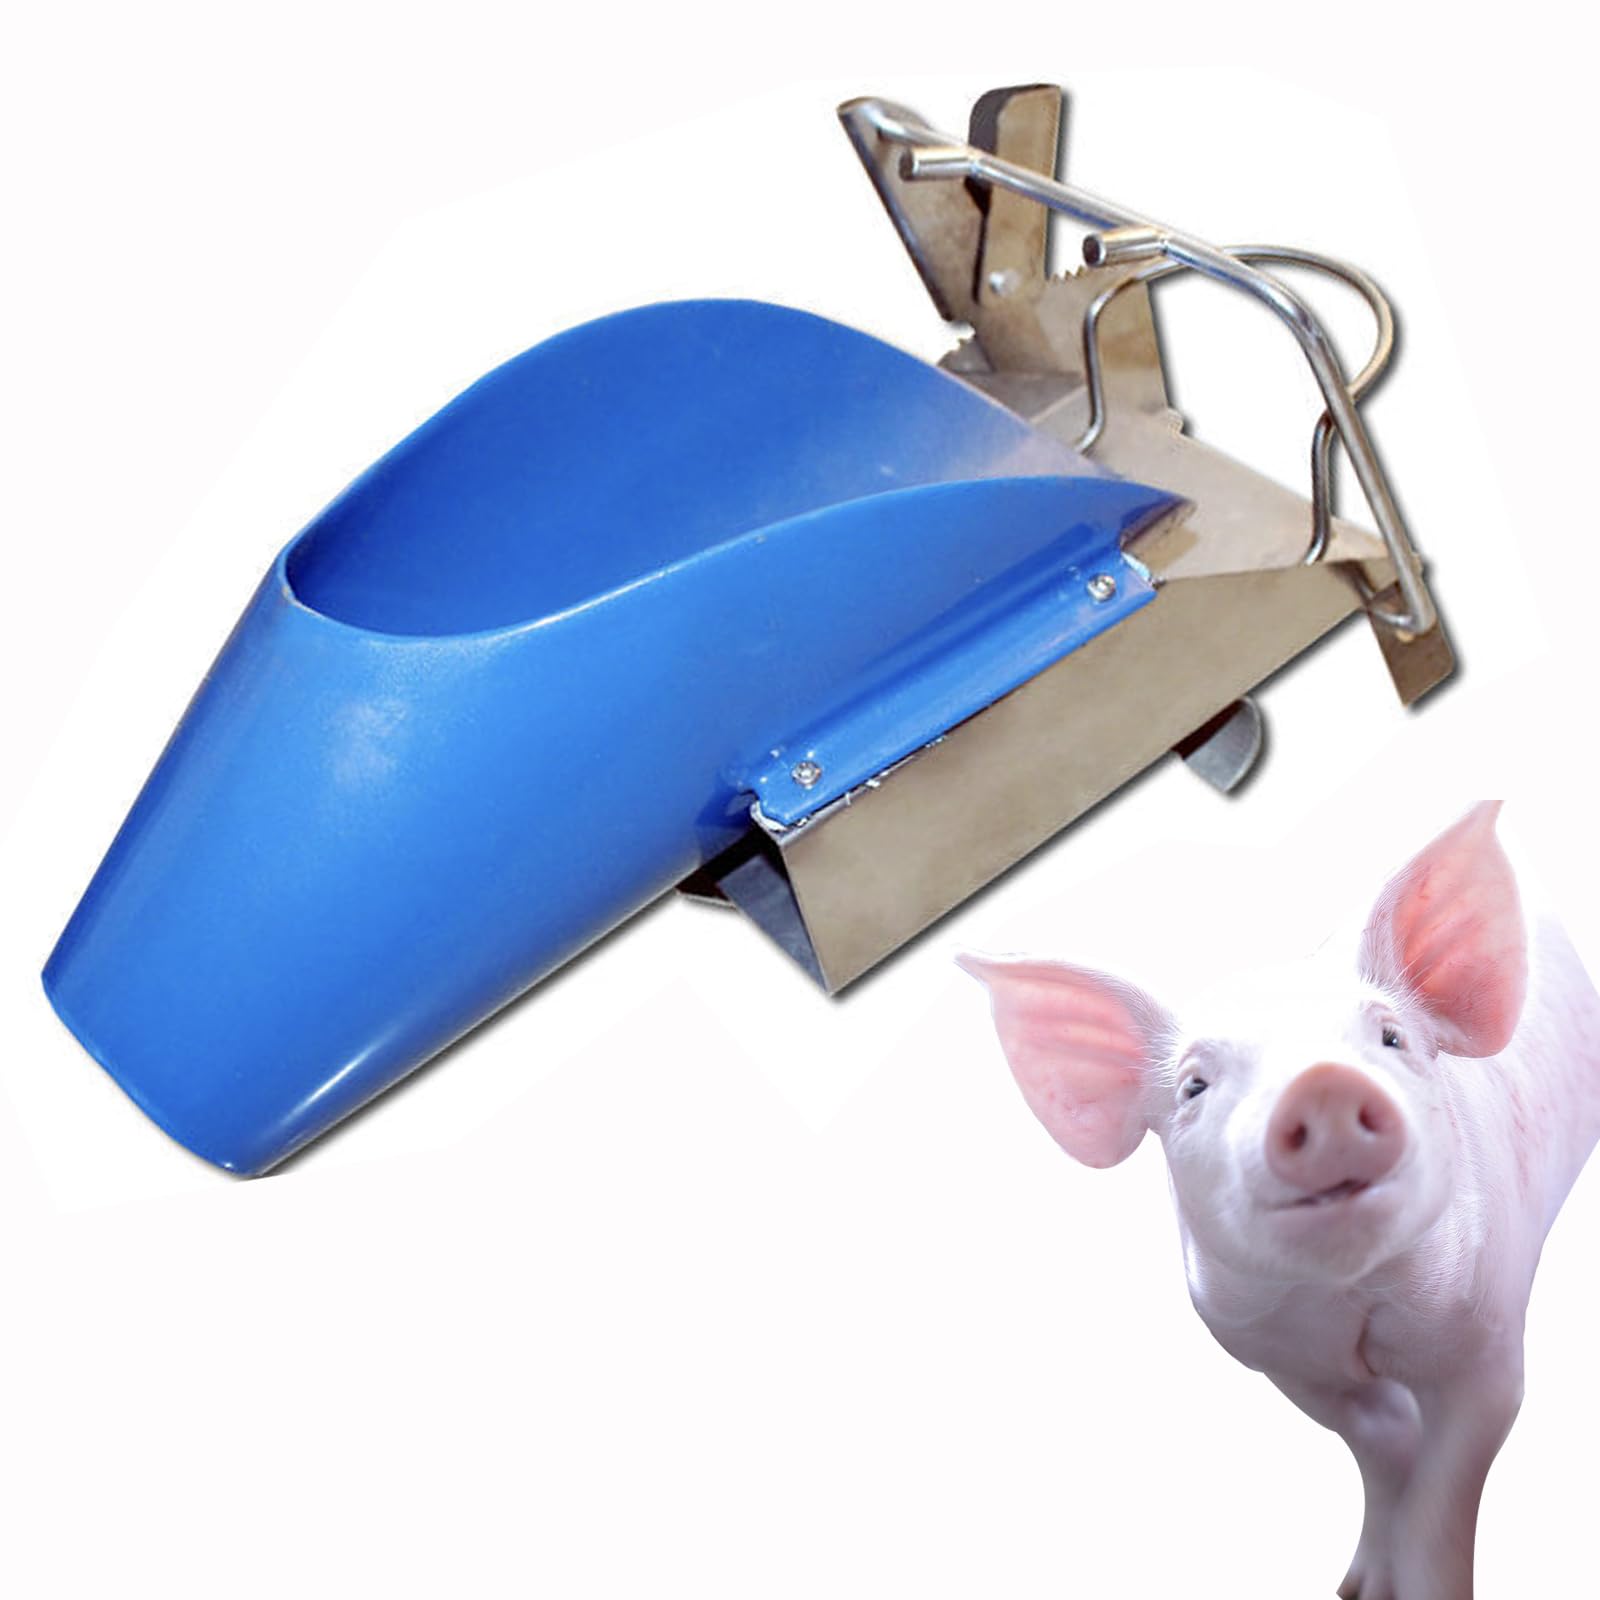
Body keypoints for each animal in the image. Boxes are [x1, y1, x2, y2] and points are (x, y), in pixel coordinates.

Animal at [959, 802, 1600, 1600]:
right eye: (1194, 1086)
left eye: (1391, 1037)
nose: (1321, 1083)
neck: (1351, 1300)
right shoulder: (1277, 1362)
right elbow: (1384, 1441)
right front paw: (1355, 1589)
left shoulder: (1491, 1342)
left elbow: (1446, 1484)